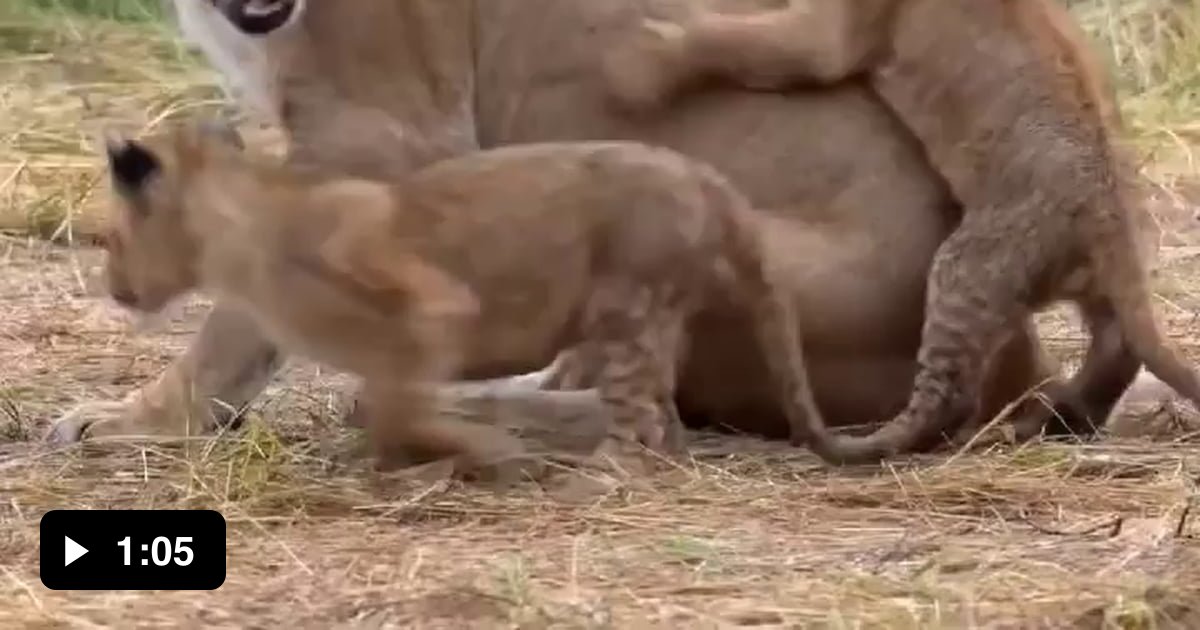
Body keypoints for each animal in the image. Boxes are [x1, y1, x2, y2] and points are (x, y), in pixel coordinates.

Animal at [100, 120, 835, 472]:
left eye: (106, 239)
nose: (111, 288)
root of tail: (711, 180)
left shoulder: (436, 305)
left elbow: (398, 406)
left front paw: (481, 450)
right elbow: (385, 406)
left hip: (627, 304)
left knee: (639, 426)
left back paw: (592, 472)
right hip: (653, 316)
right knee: (667, 423)